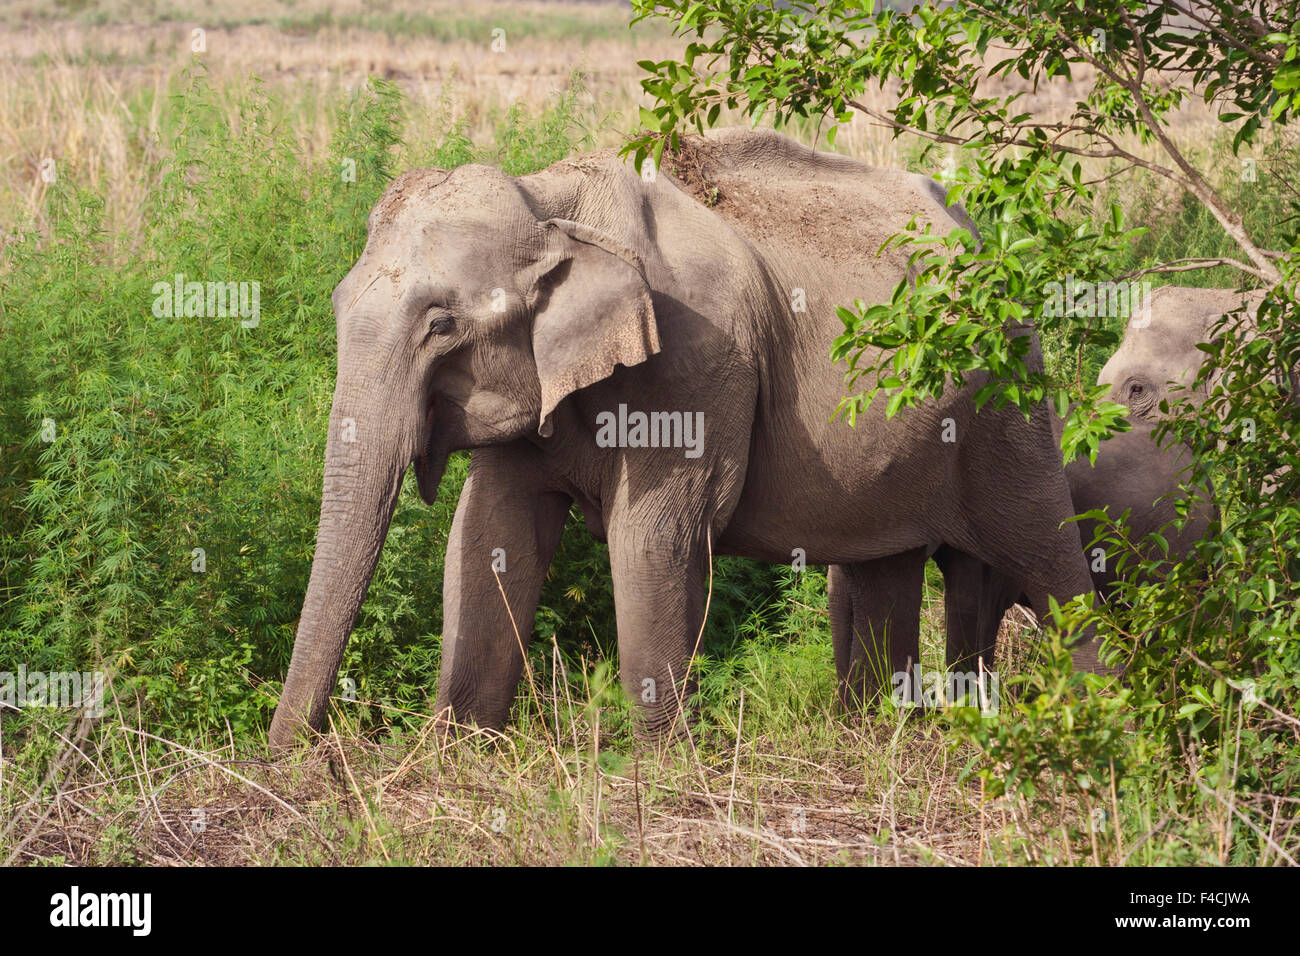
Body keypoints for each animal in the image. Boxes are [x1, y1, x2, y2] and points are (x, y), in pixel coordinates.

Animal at [267, 126, 1103, 750]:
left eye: (441, 323)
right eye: (336, 301)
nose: (302, 760)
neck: (550, 199)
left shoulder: (699, 361)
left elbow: (655, 535)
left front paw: (662, 765)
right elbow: (489, 534)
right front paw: (461, 756)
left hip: (1007, 396)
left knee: (1046, 549)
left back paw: (1102, 718)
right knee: (883, 563)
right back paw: (877, 733)